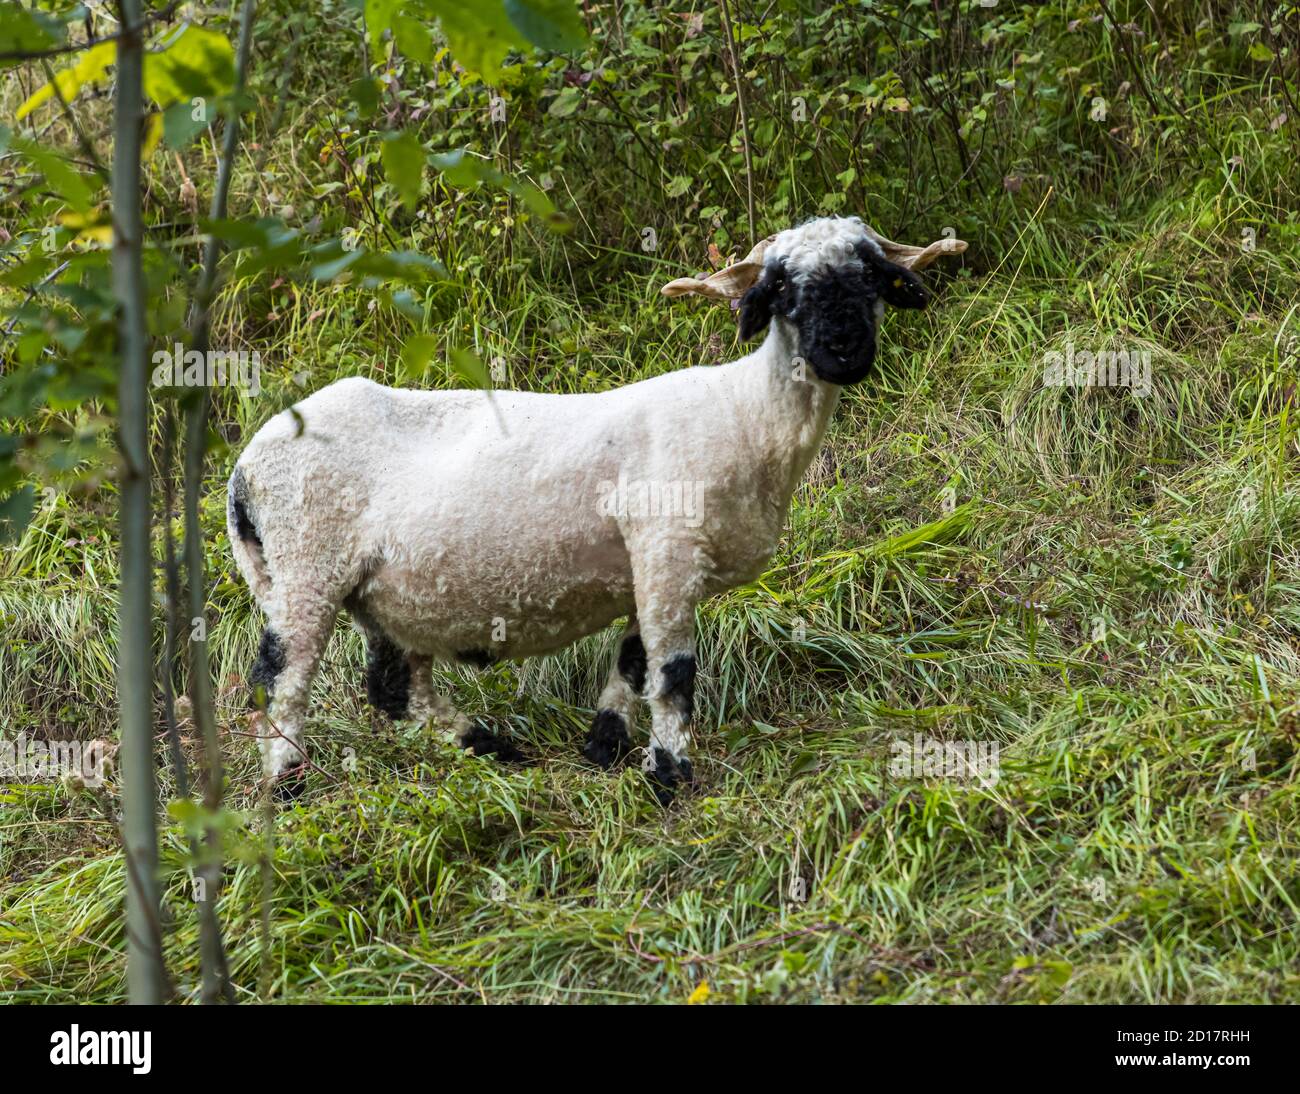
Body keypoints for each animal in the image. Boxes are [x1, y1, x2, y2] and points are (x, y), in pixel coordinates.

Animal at [227, 215, 965, 801]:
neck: (745, 414)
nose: (844, 350)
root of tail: (243, 468)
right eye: (782, 287)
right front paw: (671, 777)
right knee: (282, 679)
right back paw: (288, 783)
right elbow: (672, 673)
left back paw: (491, 747)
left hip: (380, 592)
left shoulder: (651, 566)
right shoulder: (667, 549)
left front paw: (604, 748)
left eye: (871, 276)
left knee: (392, 687)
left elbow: (634, 662)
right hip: (308, 567)